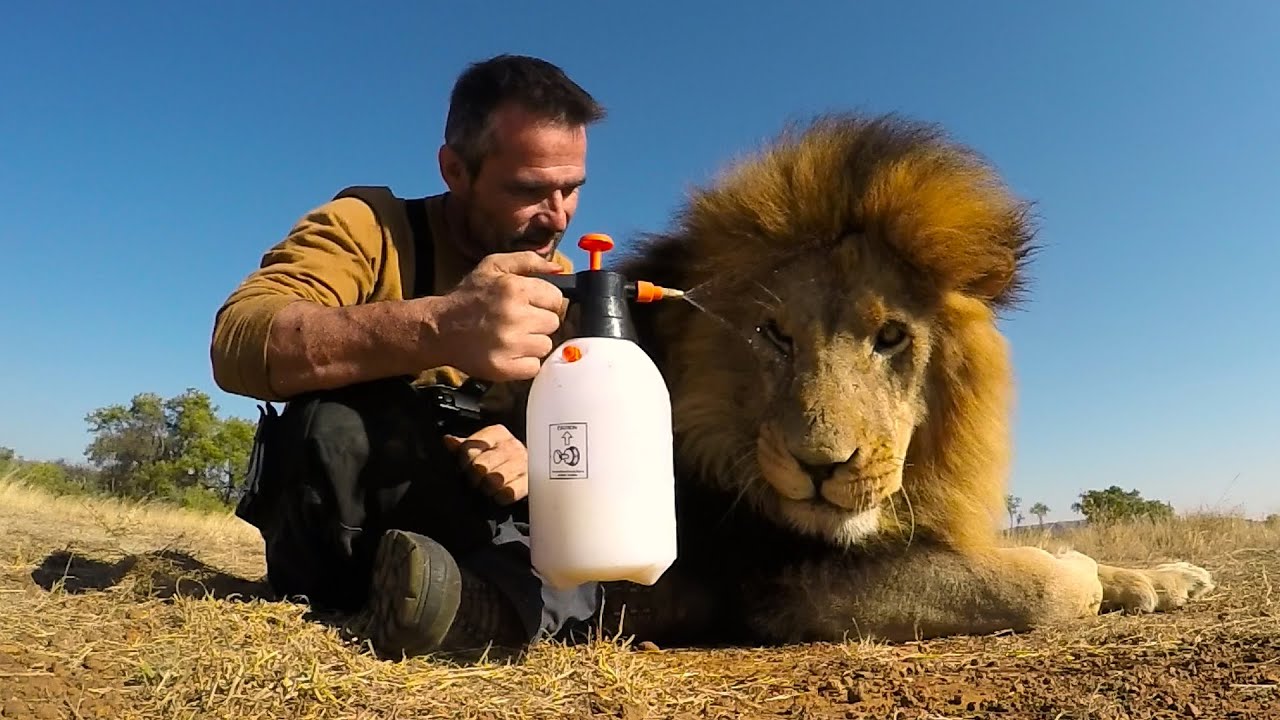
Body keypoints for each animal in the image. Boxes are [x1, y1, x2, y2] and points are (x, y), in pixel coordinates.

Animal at [587, 112, 1214, 647]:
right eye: (775, 334)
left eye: (890, 336)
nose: (820, 466)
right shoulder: (789, 590)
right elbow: (1041, 585)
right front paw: (1075, 565)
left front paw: (1166, 576)